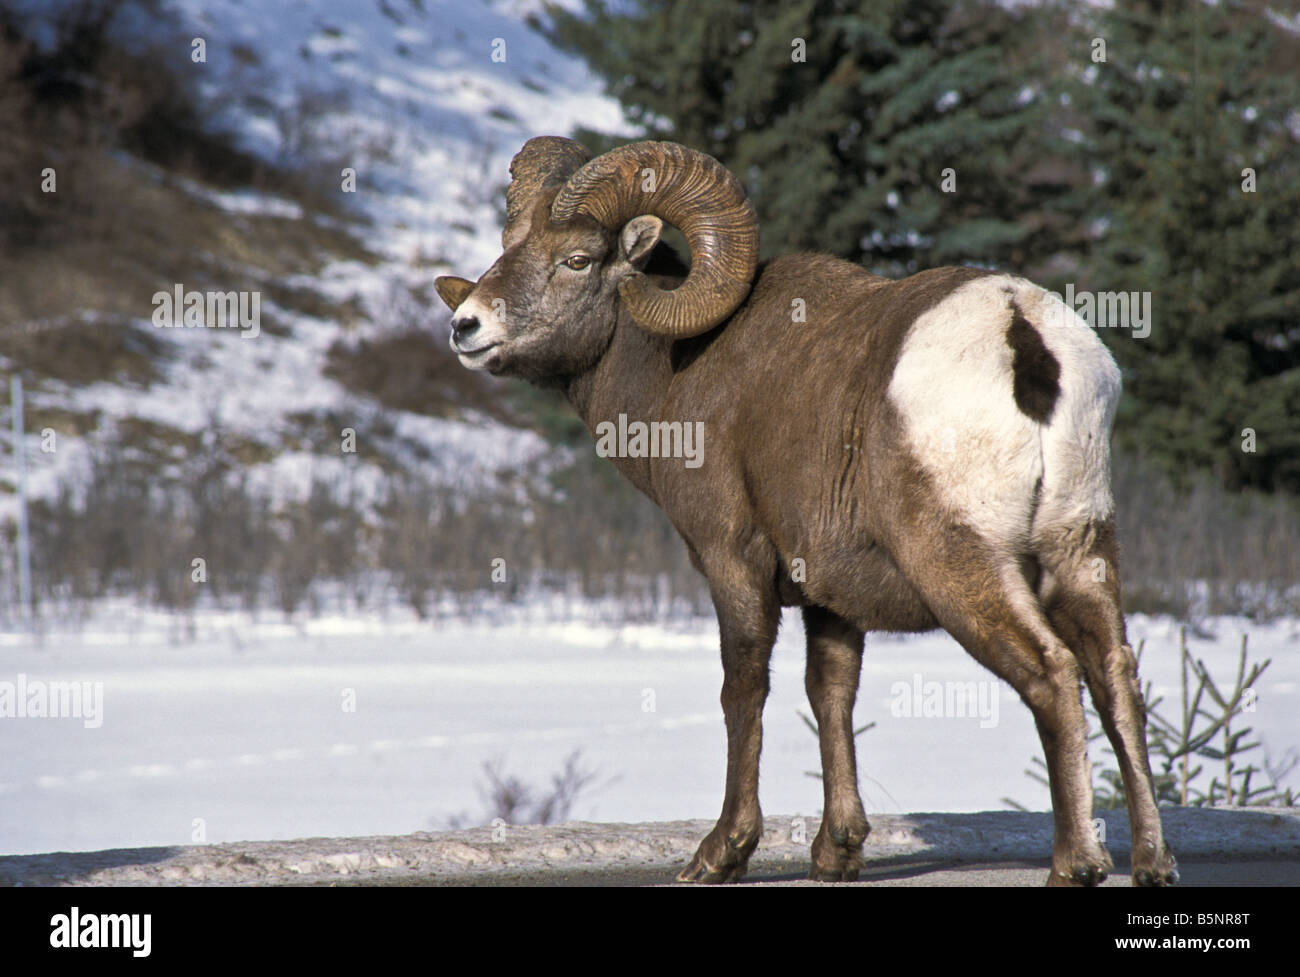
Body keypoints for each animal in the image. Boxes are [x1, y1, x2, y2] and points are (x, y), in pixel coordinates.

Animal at [434, 136, 1178, 887]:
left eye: (577, 259)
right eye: (509, 246)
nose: (466, 326)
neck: (676, 374)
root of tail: (1022, 337)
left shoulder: (732, 560)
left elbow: (744, 688)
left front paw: (720, 853)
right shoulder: (832, 597)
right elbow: (830, 692)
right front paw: (836, 851)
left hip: (963, 565)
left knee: (1052, 673)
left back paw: (1075, 865)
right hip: (1081, 552)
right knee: (1115, 677)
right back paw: (1151, 861)